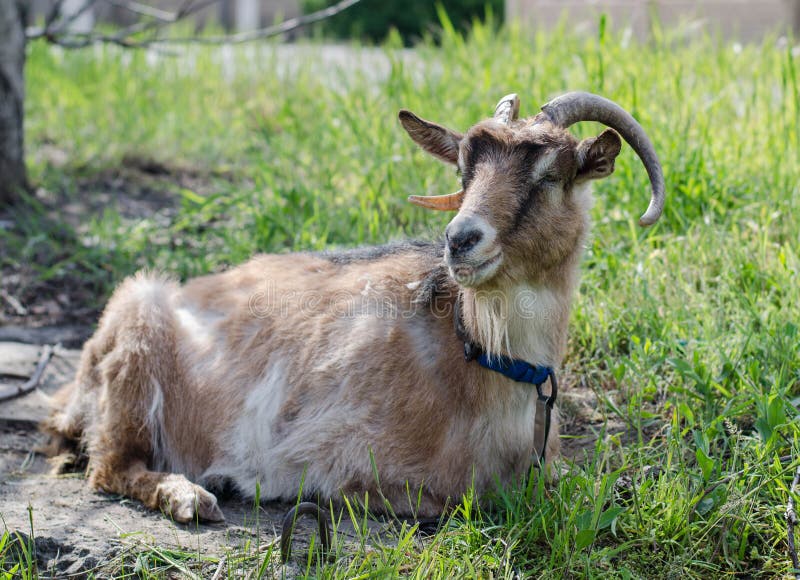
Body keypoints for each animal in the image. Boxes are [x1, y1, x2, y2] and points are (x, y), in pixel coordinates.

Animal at [42, 92, 665, 522]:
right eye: (463, 170)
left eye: (551, 174)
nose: (460, 239)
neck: (478, 355)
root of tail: (74, 391)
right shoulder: (345, 457)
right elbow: (456, 502)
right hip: (135, 333)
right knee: (109, 467)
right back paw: (190, 495)